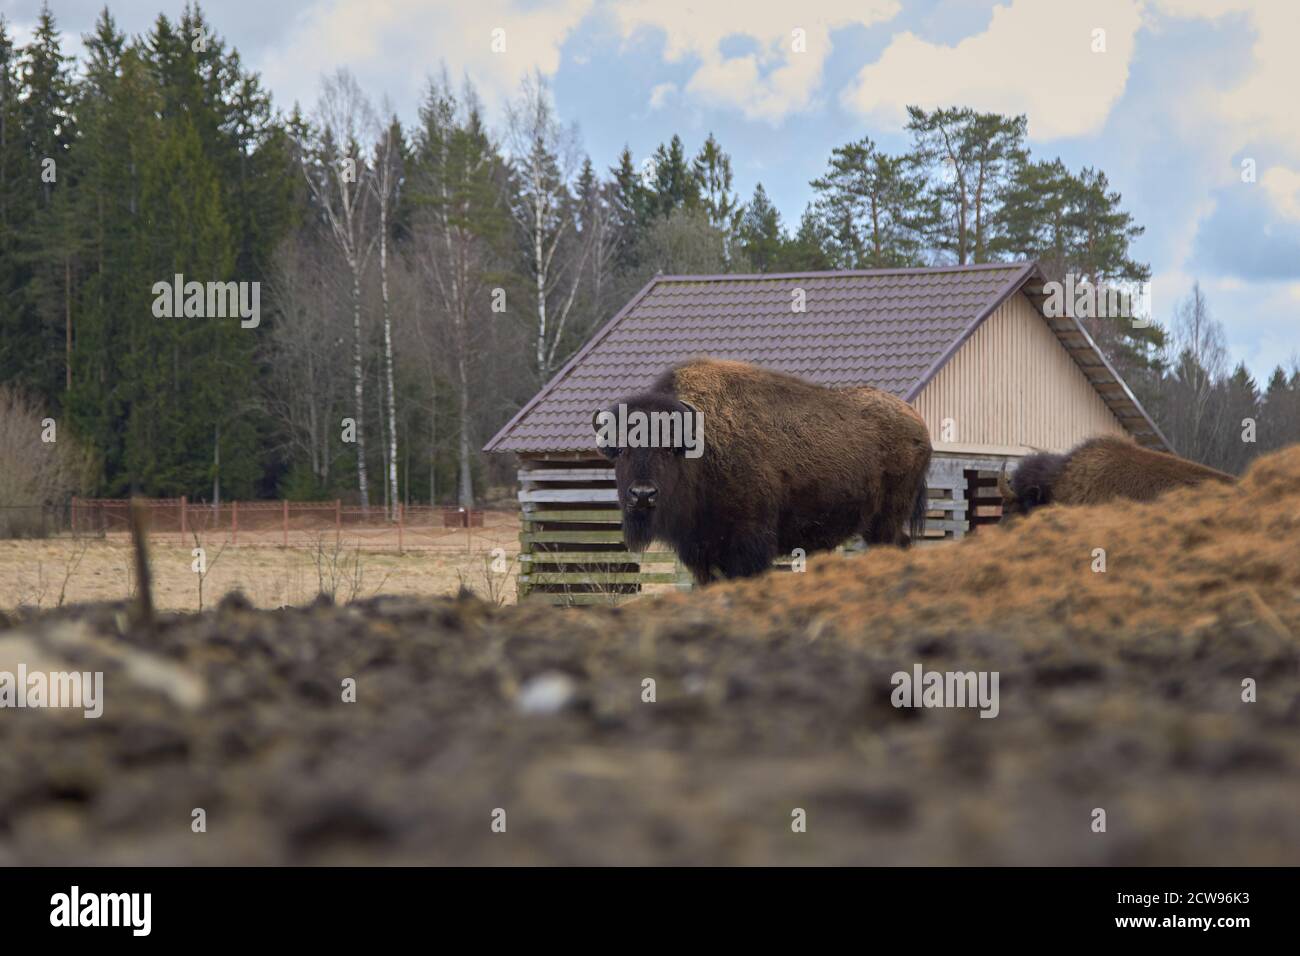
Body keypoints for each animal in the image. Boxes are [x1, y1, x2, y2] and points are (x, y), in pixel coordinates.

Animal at [593, 358, 932, 584]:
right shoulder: (700, 553)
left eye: (668, 448)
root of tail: (917, 422)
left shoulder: (749, 547)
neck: (701, 446)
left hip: (886, 519)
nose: (642, 495)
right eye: (621, 450)